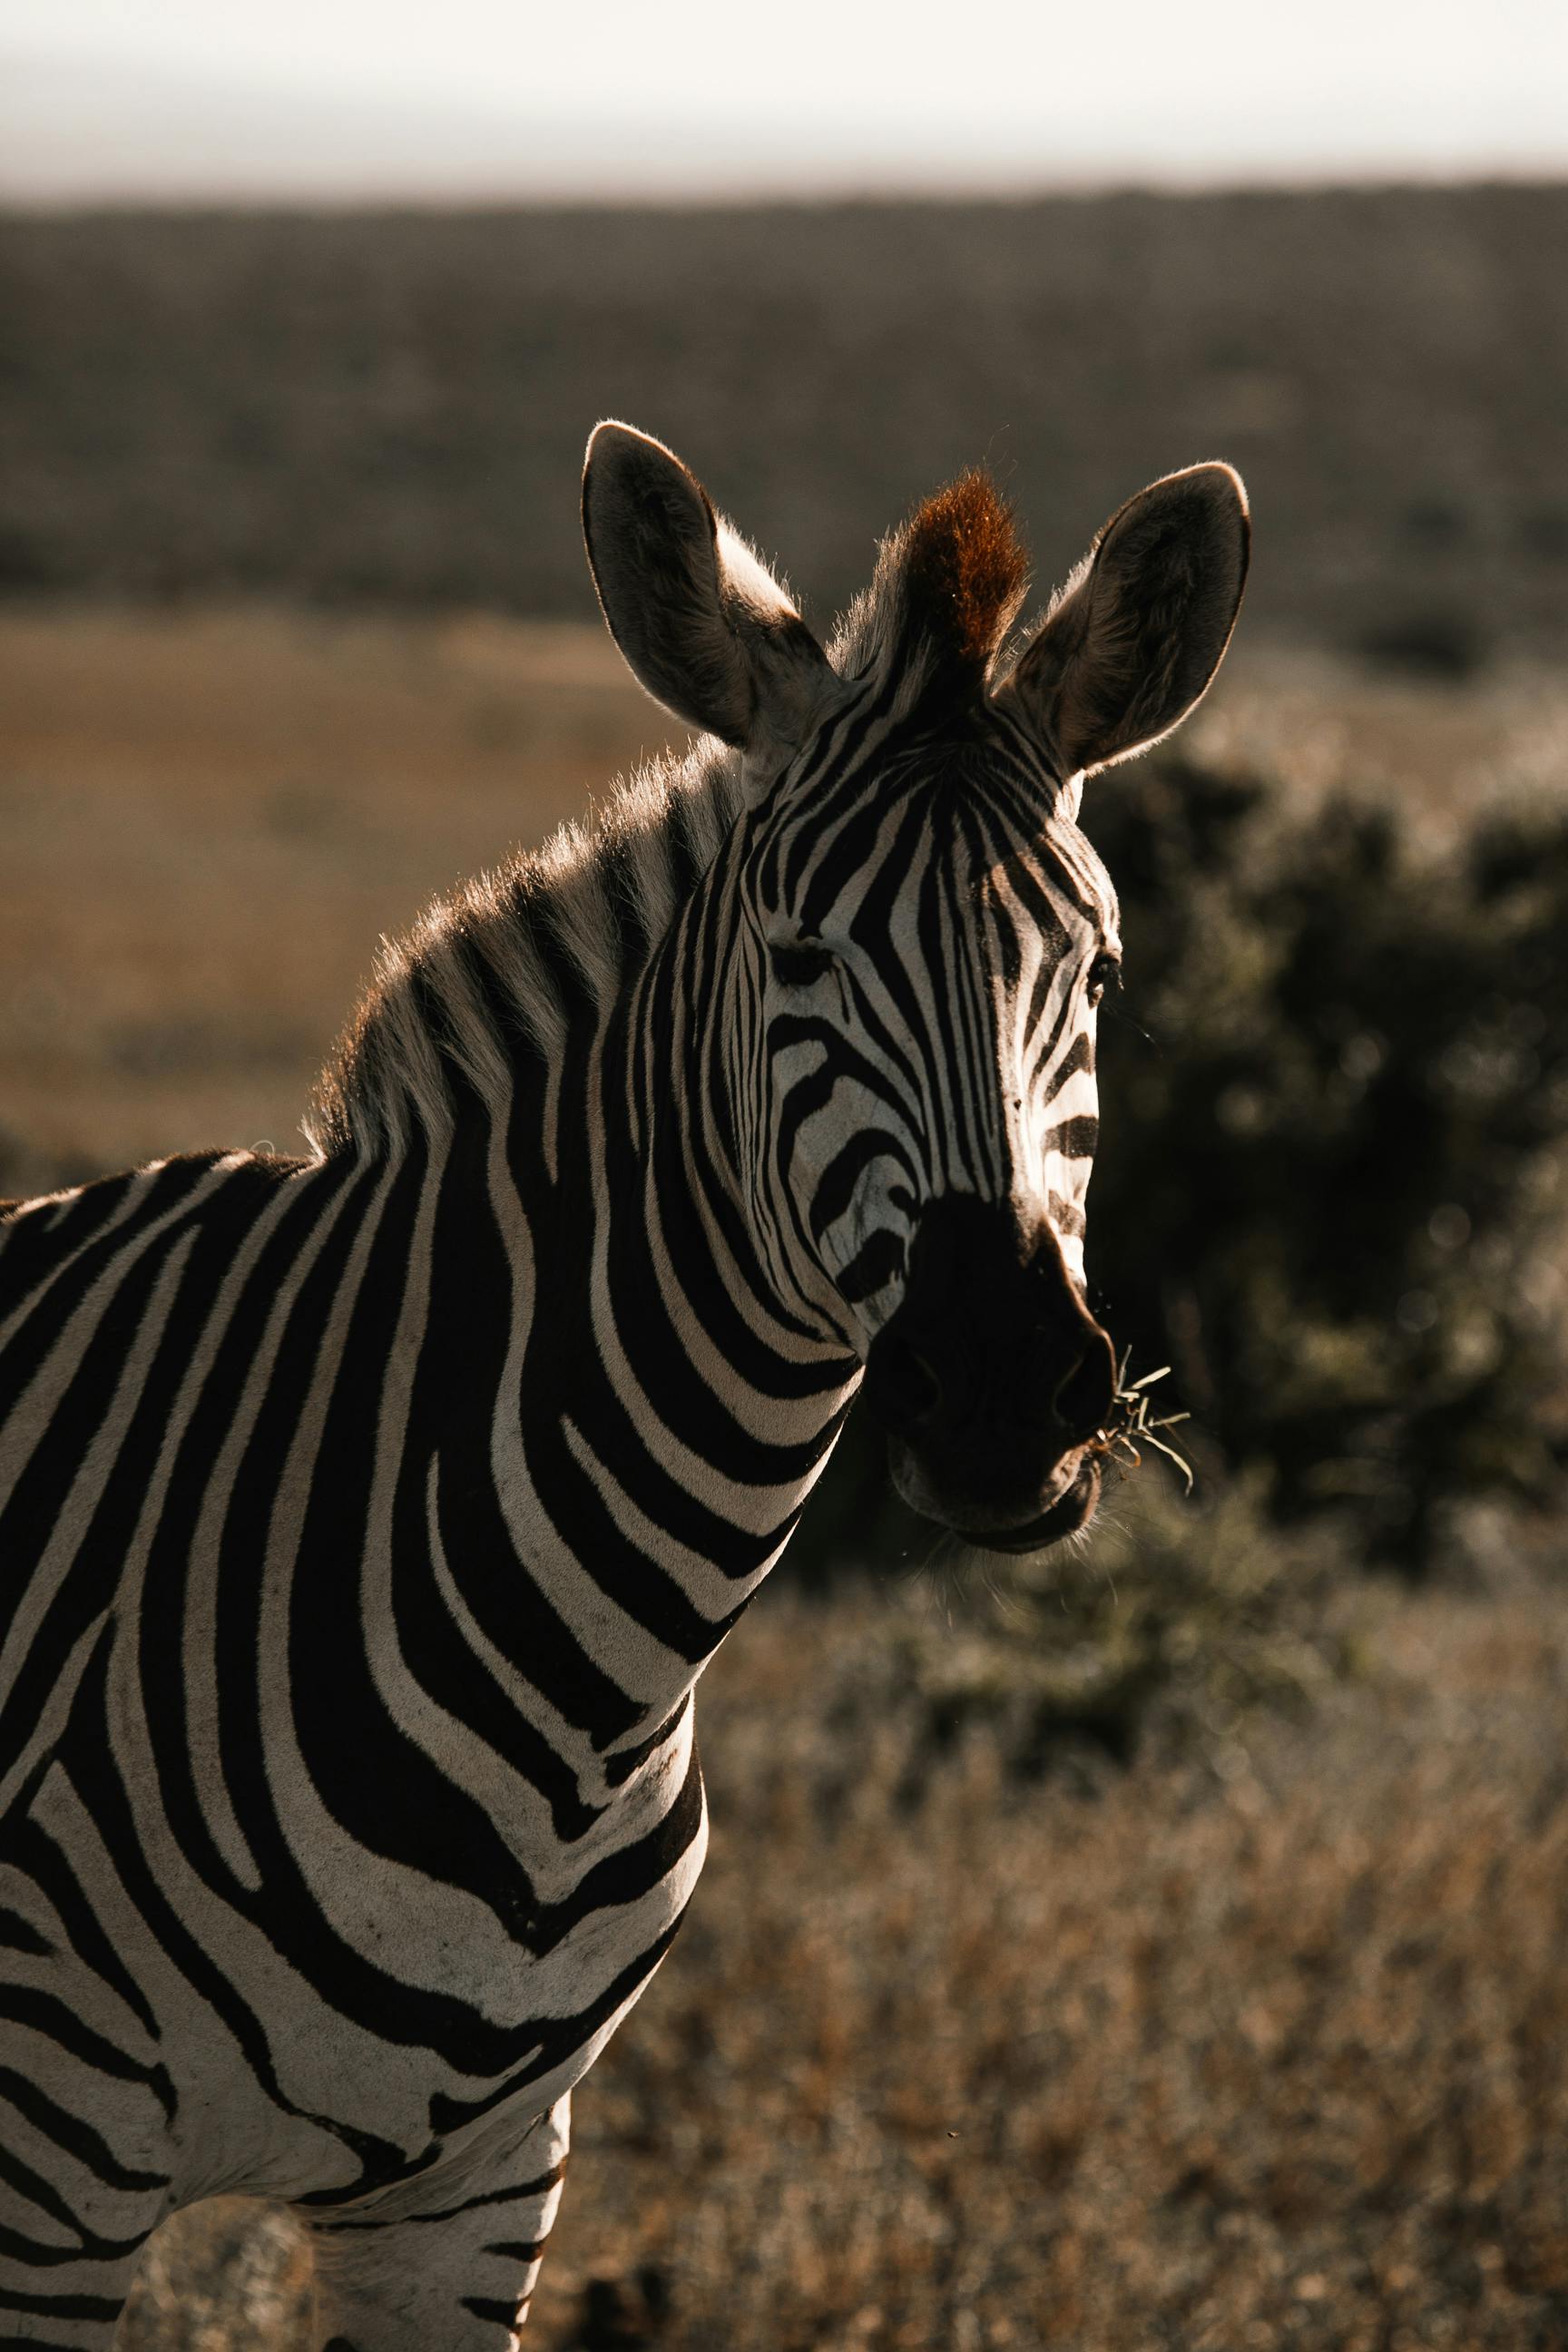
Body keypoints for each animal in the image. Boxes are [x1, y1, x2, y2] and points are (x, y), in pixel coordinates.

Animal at [0, 423, 1248, 2348]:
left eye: (1102, 969)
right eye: (799, 957)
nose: (1005, 1392)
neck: (576, 1687)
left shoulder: (479, 2184)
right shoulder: (52, 2169)